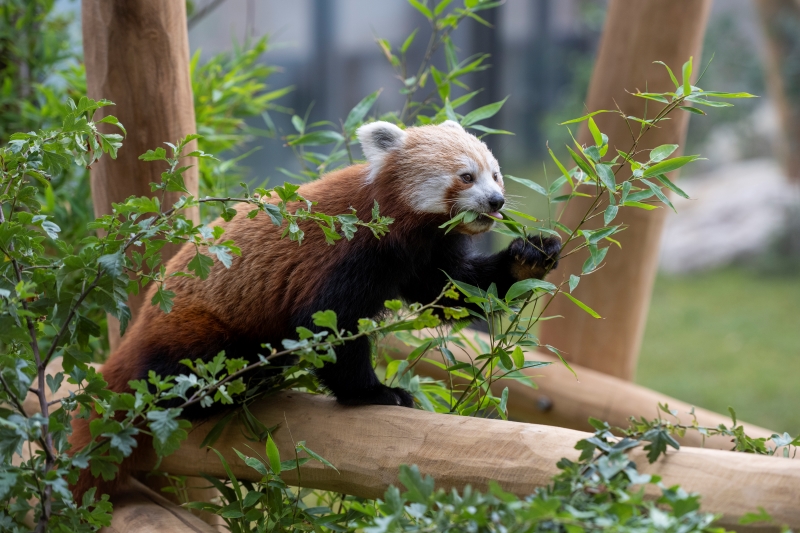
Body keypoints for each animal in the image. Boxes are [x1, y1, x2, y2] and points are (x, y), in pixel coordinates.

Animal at [70, 120, 561, 499]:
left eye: (496, 175)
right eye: (465, 177)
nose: (497, 202)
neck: (400, 228)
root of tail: (137, 330)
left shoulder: (424, 257)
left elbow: (457, 292)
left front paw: (529, 254)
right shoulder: (346, 253)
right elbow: (328, 327)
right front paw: (374, 393)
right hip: (199, 332)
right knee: (183, 373)